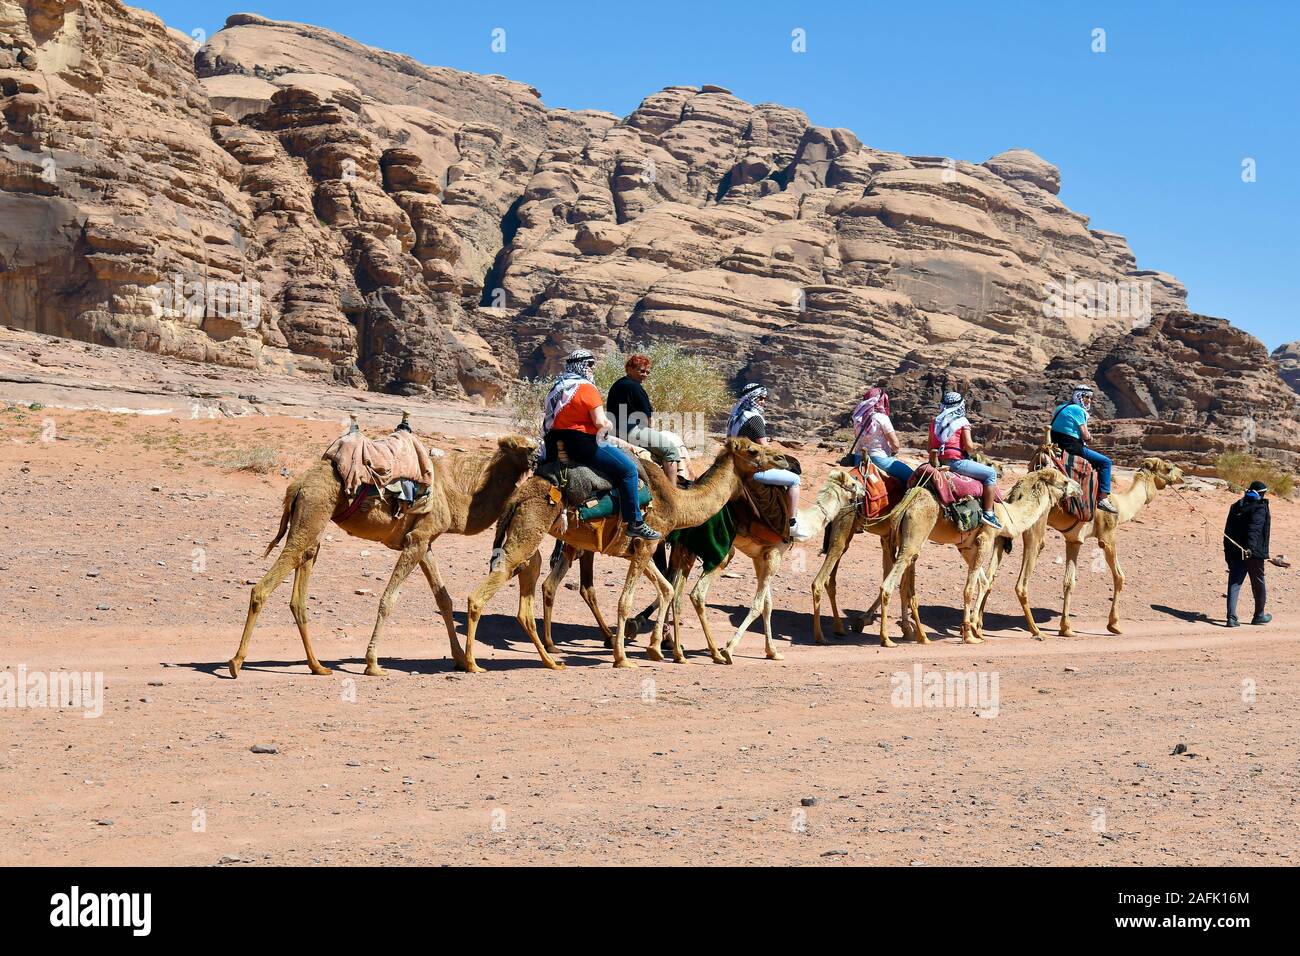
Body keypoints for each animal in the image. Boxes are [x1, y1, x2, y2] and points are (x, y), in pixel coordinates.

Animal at [227, 433, 550, 679]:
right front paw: (372, 664)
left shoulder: (424, 542)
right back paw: (235, 663)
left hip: (311, 526)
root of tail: (297, 485)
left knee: (298, 596)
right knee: (262, 588)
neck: (458, 498)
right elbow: (388, 600)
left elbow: (444, 599)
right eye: (528, 447)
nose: (542, 458)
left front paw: (460, 659)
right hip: (311, 513)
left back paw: (317, 666)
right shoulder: (416, 541)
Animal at [464, 437, 781, 670]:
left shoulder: (642, 547)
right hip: (530, 531)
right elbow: (626, 601)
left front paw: (655, 649)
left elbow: (666, 589)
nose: (779, 458)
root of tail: (518, 496)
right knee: (482, 593)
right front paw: (623, 657)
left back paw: (550, 658)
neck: (676, 503)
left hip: (530, 540)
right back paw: (471, 664)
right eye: (754, 450)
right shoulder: (647, 544)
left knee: (535, 590)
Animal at [876, 466, 1082, 647]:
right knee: (888, 585)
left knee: (904, 584)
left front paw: (975, 628)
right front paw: (969, 634)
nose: (1079, 488)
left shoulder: (966, 547)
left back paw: (918, 636)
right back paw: (887, 639)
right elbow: (969, 589)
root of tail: (909, 500)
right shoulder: (986, 539)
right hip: (915, 534)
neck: (1007, 517)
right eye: (1064, 481)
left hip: (904, 538)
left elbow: (983, 582)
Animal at [1015, 448, 1184, 638]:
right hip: (1036, 523)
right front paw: (1114, 625)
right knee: (1024, 576)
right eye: (1168, 468)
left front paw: (1066, 628)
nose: (1182, 474)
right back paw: (1035, 631)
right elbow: (1119, 576)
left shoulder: (1074, 540)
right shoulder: (1107, 536)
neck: (1121, 506)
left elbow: (1069, 582)